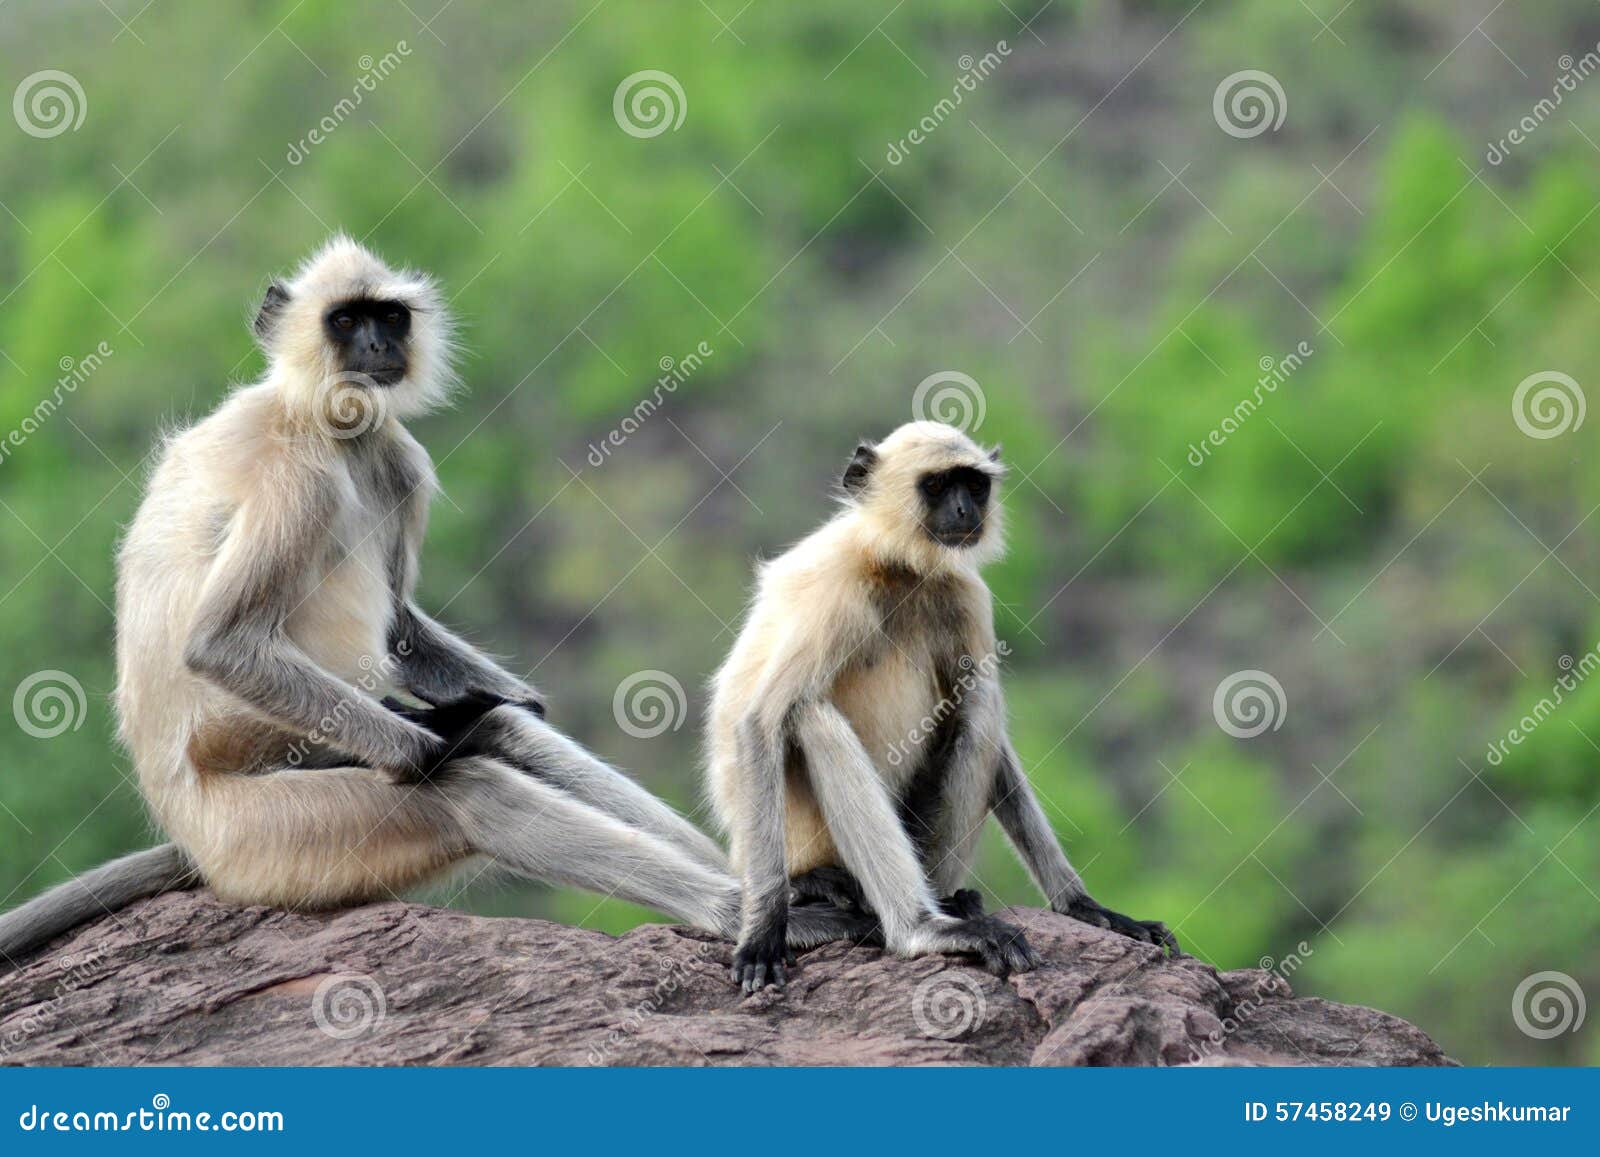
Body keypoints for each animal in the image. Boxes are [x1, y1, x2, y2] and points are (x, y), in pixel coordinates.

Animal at [0, 236, 873, 968]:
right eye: (344, 321)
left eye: (388, 317)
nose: (376, 348)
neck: (316, 415)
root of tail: (190, 834)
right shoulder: (297, 477)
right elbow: (220, 644)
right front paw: (431, 745)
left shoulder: (395, 456)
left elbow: (409, 634)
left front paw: (506, 703)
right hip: (273, 836)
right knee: (471, 789)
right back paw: (735, 910)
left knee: (510, 736)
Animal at [707, 420, 1177, 992]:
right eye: (935, 486)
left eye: (973, 485)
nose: (963, 510)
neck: (900, 566)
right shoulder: (836, 591)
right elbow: (761, 721)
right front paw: (763, 932)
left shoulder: (966, 596)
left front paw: (1083, 905)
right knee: (809, 716)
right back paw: (910, 924)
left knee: (978, 704)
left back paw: (950, 901)